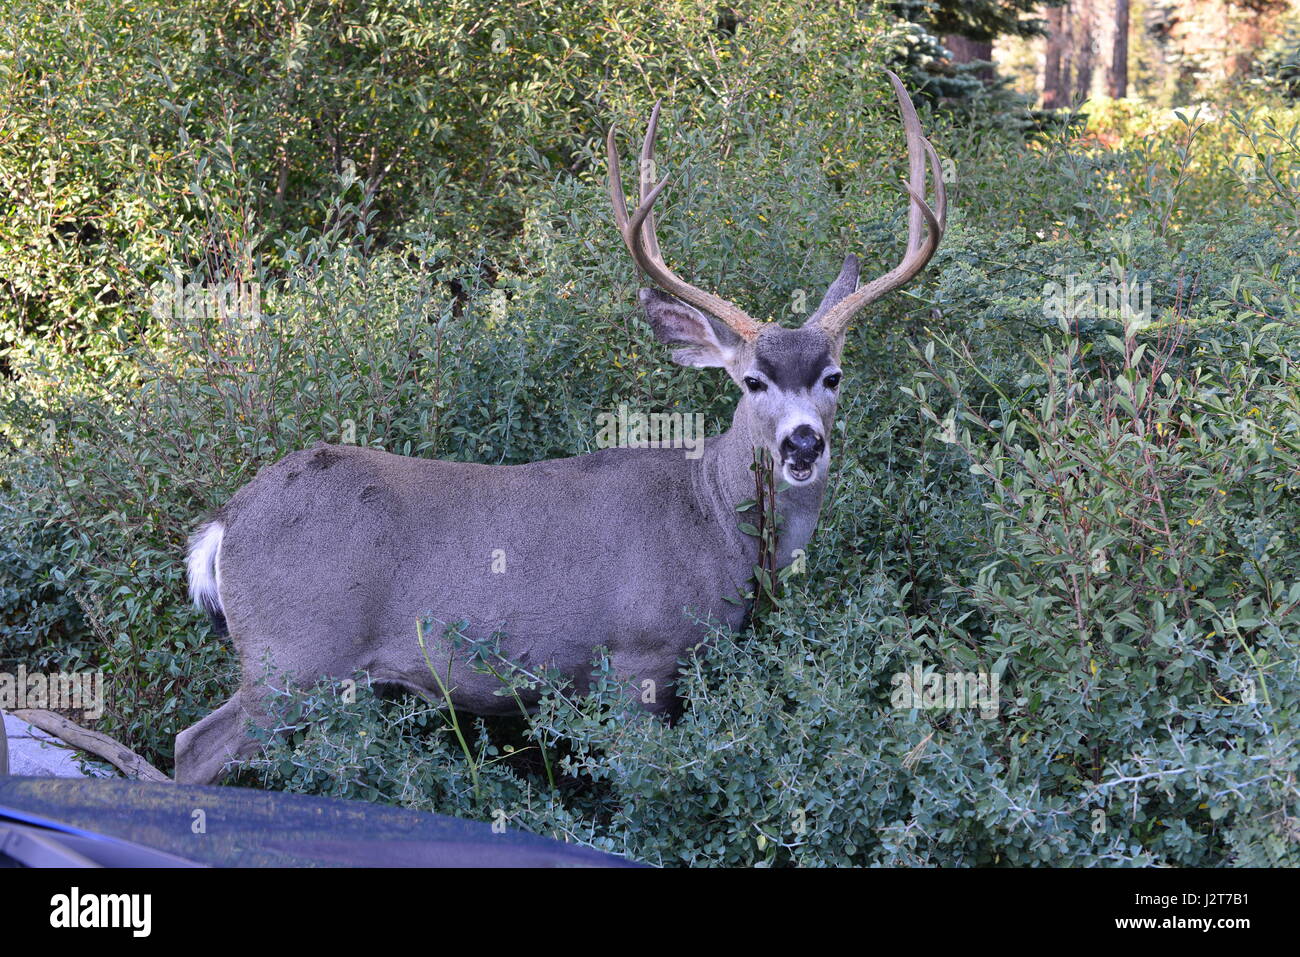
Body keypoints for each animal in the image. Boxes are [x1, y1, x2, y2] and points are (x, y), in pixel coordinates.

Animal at [174, 71, 946, 785]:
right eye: (752, 381)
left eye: (833, 377)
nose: (803, 443)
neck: (713, 516)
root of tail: (225, 523)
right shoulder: (639, 657)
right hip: (292, 655)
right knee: (193, 744)